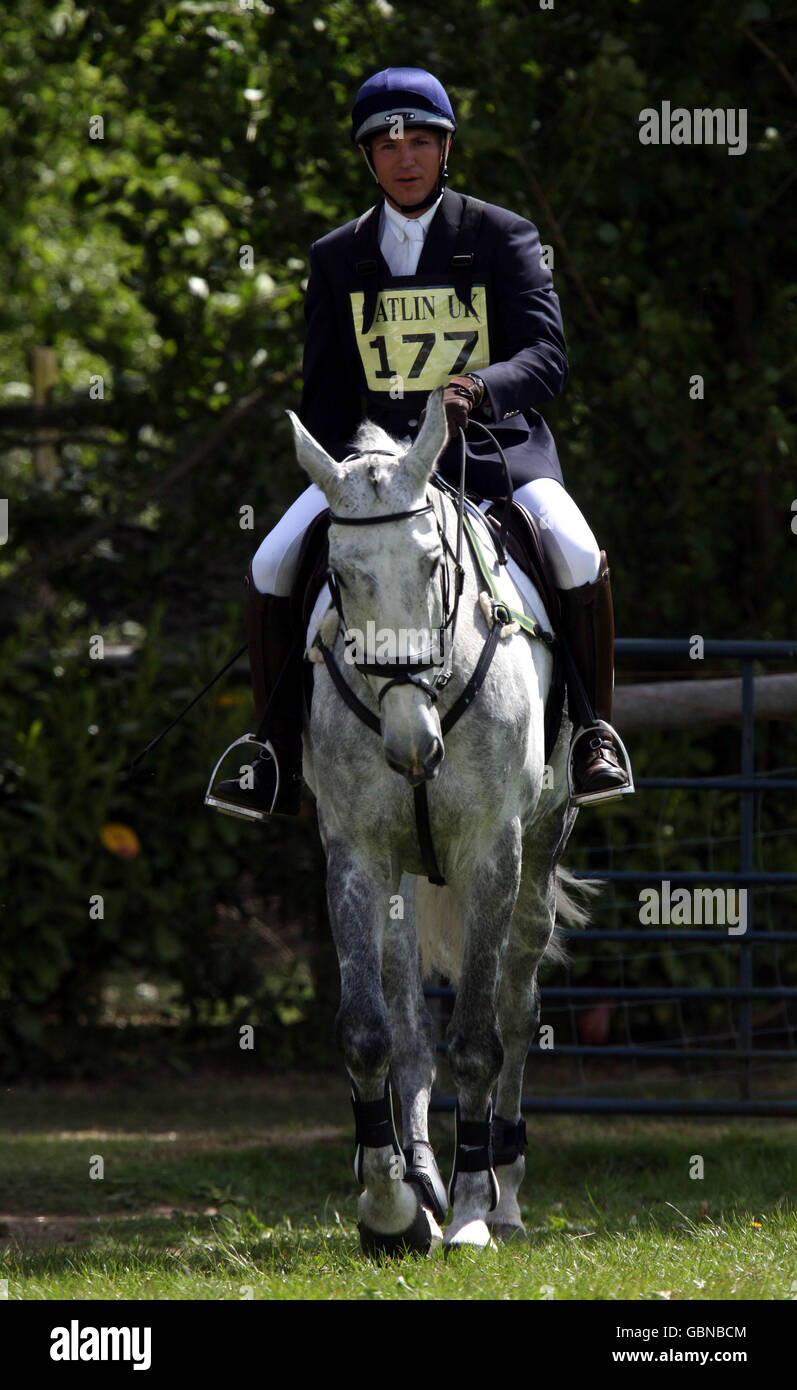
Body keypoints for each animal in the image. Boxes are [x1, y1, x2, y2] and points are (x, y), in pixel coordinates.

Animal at [287, 386, 590, 1255]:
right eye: (337, 575)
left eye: (431, 563)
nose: (411, 746)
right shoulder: (357, 853)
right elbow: (370, 1031)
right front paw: (390, 1208)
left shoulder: (493, 852)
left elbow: (479, 1042)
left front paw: (471, 1211)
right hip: (399, 880)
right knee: (412, 1028)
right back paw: (418, 1179)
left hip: (539, 850)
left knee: (516, 1011)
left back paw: (504, 1191)